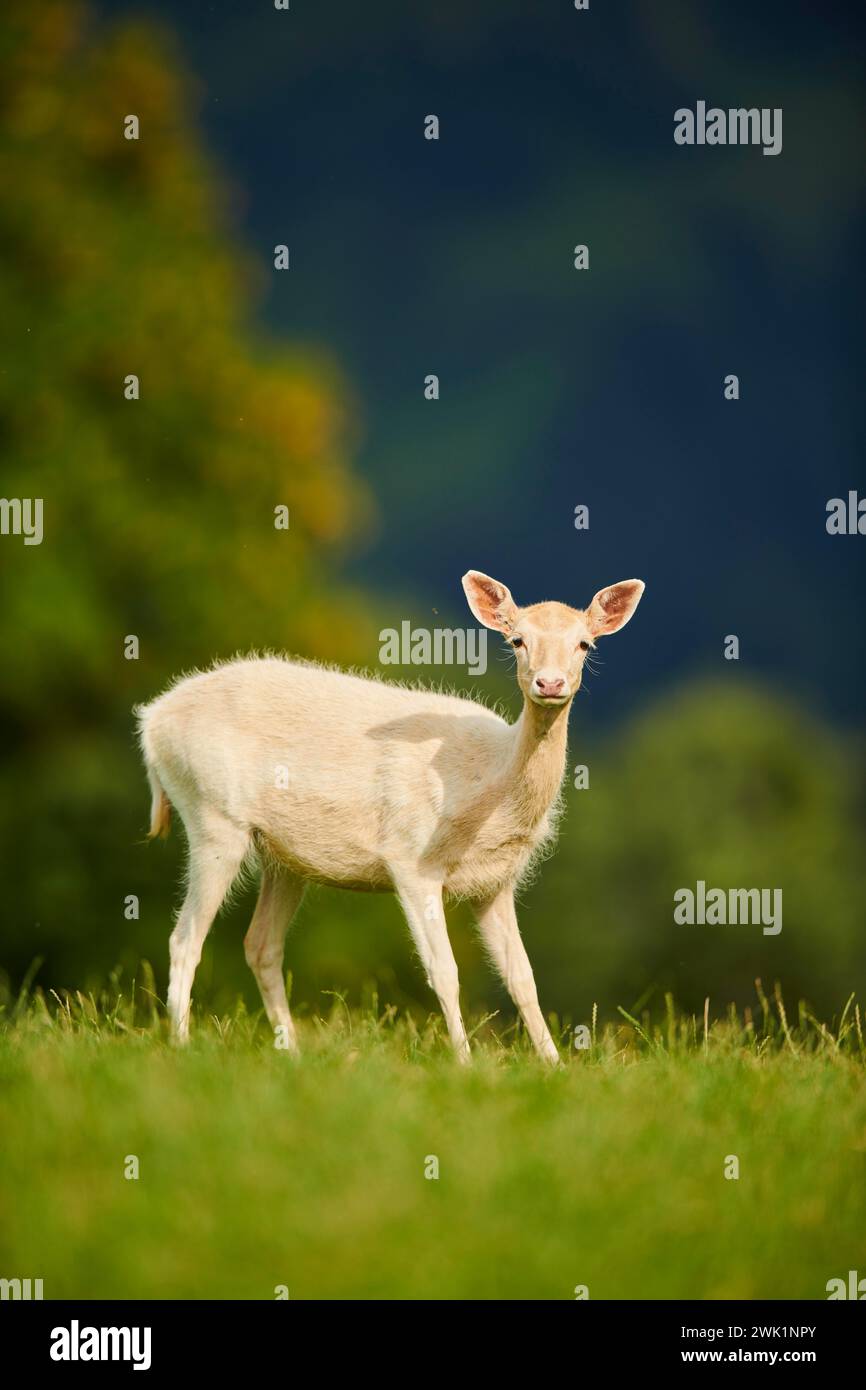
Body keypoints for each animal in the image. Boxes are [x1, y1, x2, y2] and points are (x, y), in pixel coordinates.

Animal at [136, 571, 644, 1063]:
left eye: (585, 644)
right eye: (517, 640)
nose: (550, 684)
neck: (488, 788)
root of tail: (151, 724)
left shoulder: (496, 882)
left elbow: (523, 977)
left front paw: (554, 1065)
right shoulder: (411, 857)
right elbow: (444, 971)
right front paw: (465, 1063)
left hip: (283, 857)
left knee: (261, 945)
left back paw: (291, 1054)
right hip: (212, 815)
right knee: (185, 940)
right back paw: (182, 1046)